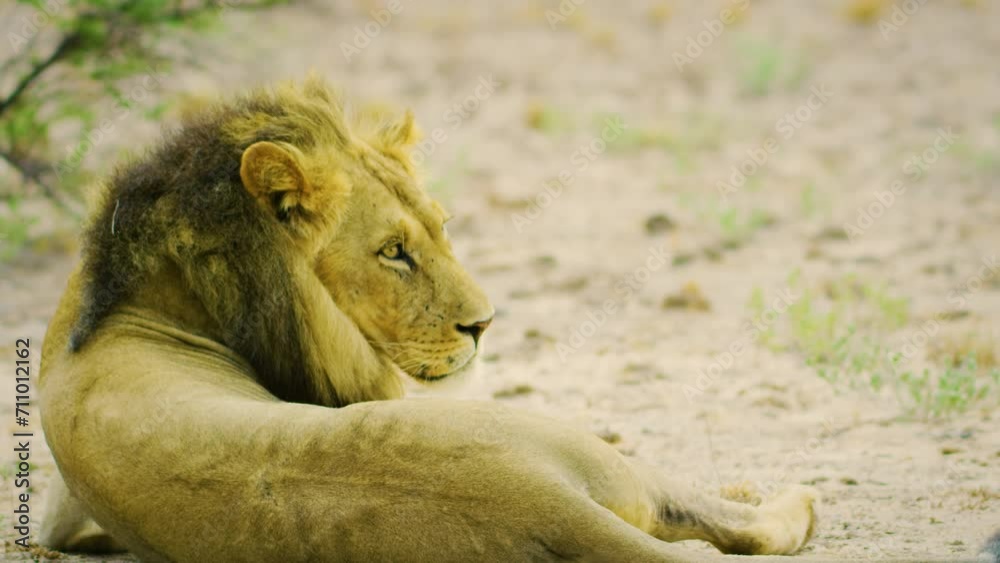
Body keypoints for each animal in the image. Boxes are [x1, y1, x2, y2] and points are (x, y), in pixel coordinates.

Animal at [37, 76, 818, 562]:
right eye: (393, 253)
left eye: (442, 229)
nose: (486, 324)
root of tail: (539, 506)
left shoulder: (61, 520)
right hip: (577, 448)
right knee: (745, 528)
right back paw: (782, 496)